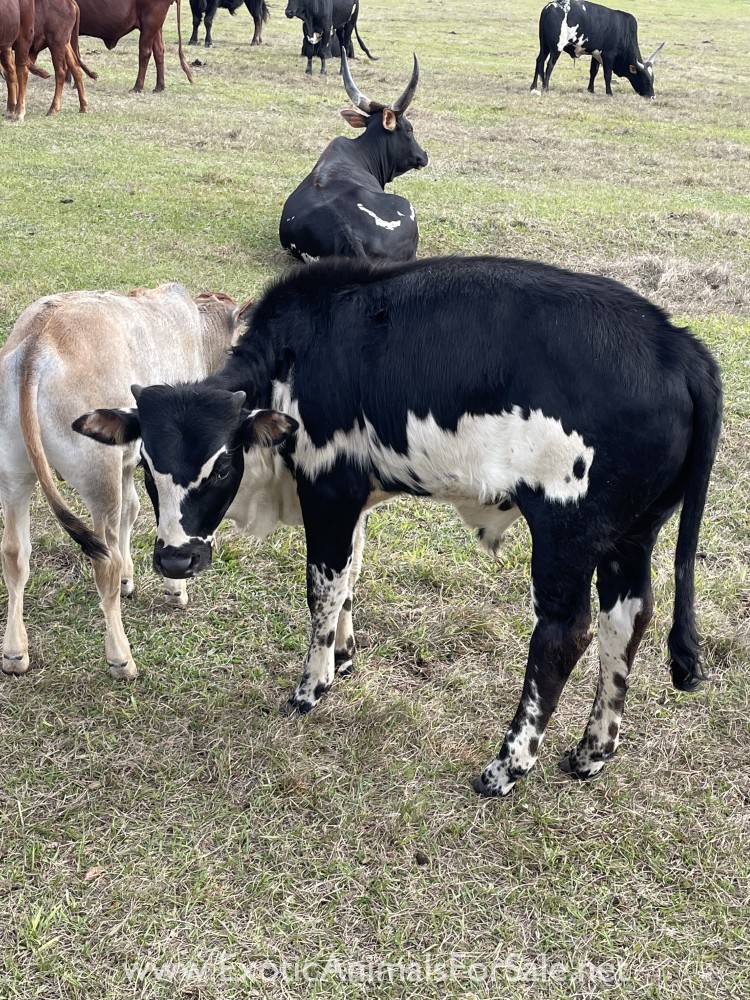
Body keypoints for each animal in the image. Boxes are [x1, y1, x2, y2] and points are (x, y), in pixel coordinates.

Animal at [0, 285, 249, 681]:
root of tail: (37, 341)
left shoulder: (129, 458)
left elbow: (131, 511)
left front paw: (130, 580)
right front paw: (174, 589)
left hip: (14, 472)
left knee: (14, 552)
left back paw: (14, 652)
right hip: (98, 473)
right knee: (104, 559)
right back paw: (120, 658)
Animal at [73, 256, 722, 798]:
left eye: (223, 464)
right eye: (148, 467)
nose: (175, 560)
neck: (296, 355)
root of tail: (677, 344)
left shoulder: (329, 492)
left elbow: (323, 586)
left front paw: (311, 687)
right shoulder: (354, 500)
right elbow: (350, 575)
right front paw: (343, 655)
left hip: (567, 534)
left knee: (565, 634)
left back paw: (506, 766)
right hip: (631, 536)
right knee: (626, 620)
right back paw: (592, 751)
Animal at [530, 0, 664, 98]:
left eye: (652, 79)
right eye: (645, 79)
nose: (652, 96)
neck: (624, 33)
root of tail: (549, 7)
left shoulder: (596, 54)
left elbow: (593, 71)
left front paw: (591, 89)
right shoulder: (609, 55)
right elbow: (607, 74)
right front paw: (609, 92)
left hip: (544, 46)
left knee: (539, 61)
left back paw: (534, 86)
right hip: (556, 47)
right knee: (549, 64)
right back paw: (546, 87)